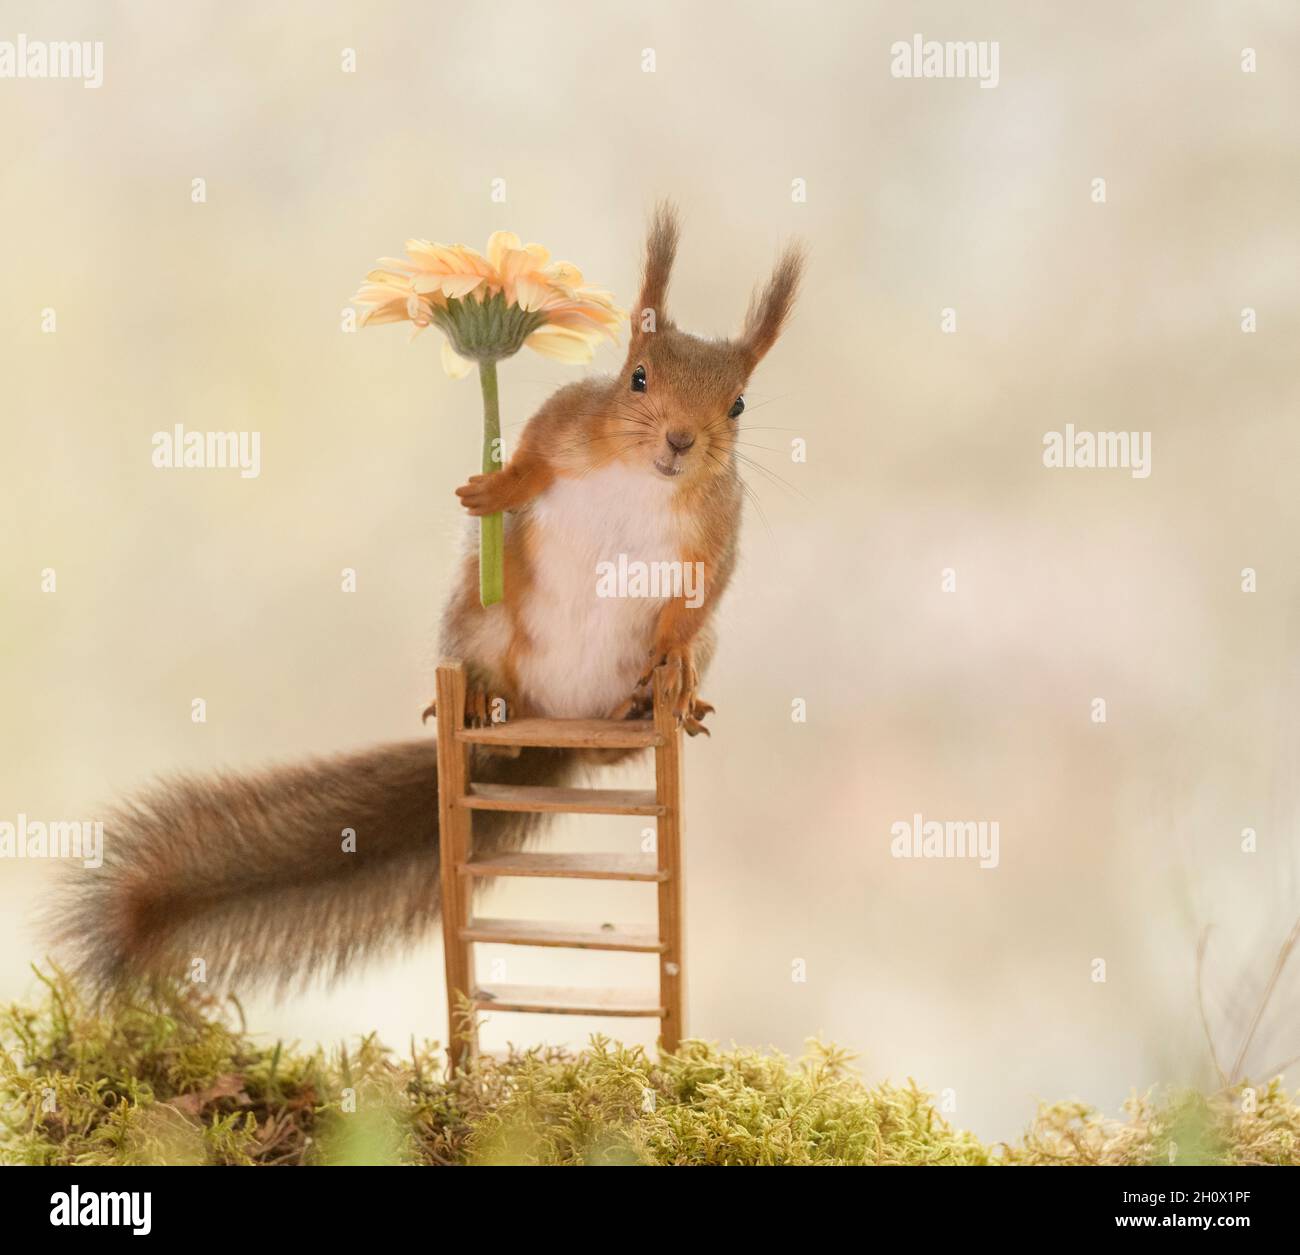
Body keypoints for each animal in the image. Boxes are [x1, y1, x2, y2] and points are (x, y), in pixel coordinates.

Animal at [52, 204, 804, 995]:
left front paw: (675, 660)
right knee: (484, 677)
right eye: (637, 377)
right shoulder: (569, 419)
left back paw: (645, 706)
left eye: (738, 404)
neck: (643, 478)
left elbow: (699, 597)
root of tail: (556, 726)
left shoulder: (714, 534)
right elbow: (532, 450)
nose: (681, 441)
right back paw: (478, 696)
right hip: (476, 616)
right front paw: (496, 489)